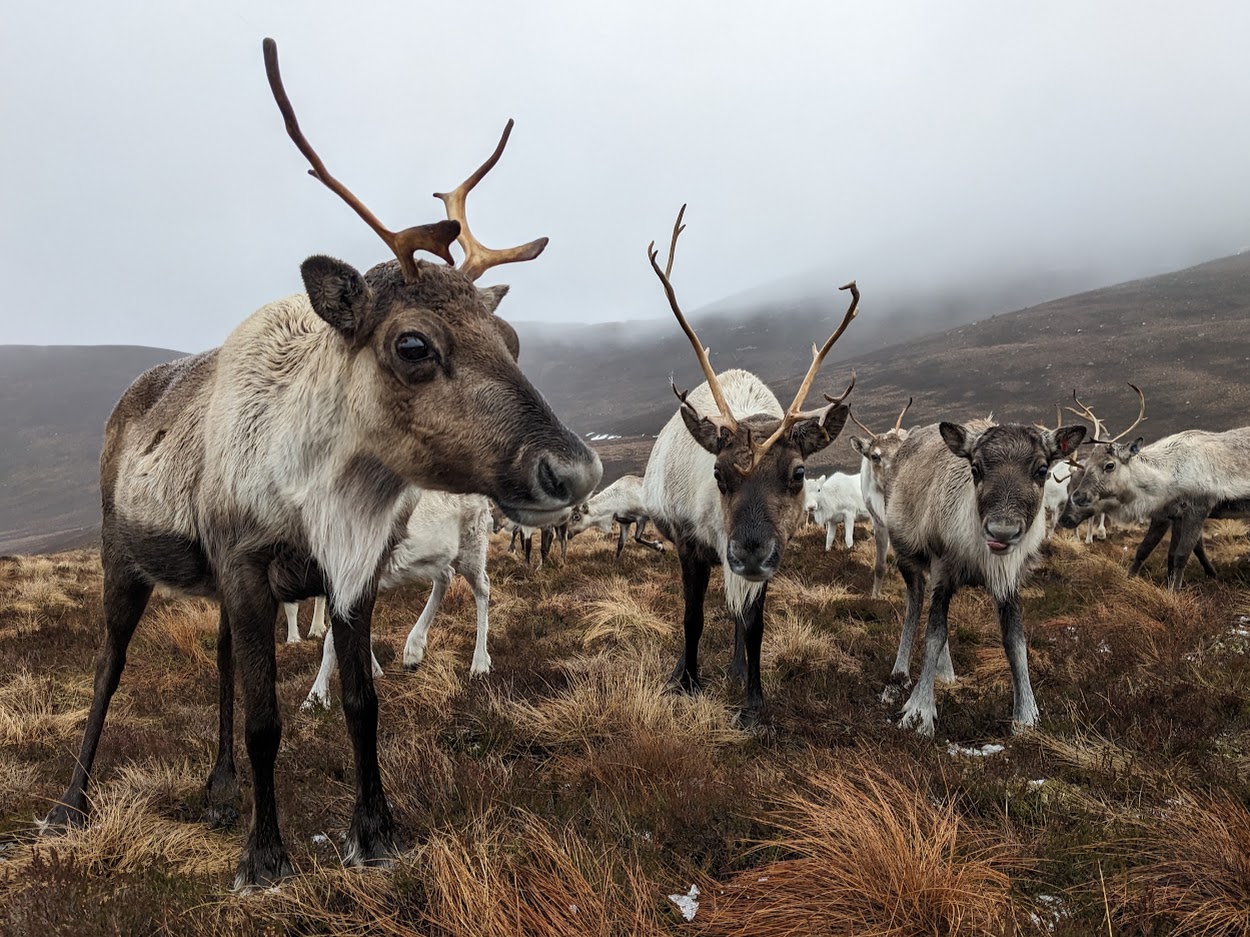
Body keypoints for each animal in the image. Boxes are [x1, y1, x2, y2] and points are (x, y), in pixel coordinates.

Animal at [39, 38, 600, 893]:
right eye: (413, 344)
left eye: (511, 339)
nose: (572, 470)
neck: (322, 489)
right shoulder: (245, 567)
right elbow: (266, 717)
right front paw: (265, 856)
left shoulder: (351, 570)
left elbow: (362, 700)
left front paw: (375, 831)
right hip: (121, 557)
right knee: (109, 665)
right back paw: (72, 803)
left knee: (220, 657)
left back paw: (221, 787)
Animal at [640, 205, 858, 722]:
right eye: (718, 473)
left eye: (799, 473)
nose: (749, 552)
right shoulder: (689, 545)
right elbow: (692, 617)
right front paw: (688, 681)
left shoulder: (768, 561)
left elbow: (753, 624)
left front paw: (754, 702)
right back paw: (682, 669)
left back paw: (737, 668)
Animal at [887, 416, 1086, 737]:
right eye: (975, 468)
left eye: (1042, 469)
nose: (1001, 532)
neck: (981, 558)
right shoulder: (943, 570)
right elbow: (934, 635)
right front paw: (919, 712)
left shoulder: (1009, 581)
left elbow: (1015, 641)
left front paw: (1026, 715)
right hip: (907, 558)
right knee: (915, 604)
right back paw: (899, 676)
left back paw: (945, 673)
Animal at [1058, 383, 1250, 587]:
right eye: (1087, 465)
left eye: (1109, 465)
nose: (1078, 496)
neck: (1168, 475)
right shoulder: (1171, 515)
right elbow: (1148, 550)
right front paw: (1129, 581)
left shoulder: (1197, 509)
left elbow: (1181, 555)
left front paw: (1173, 590)